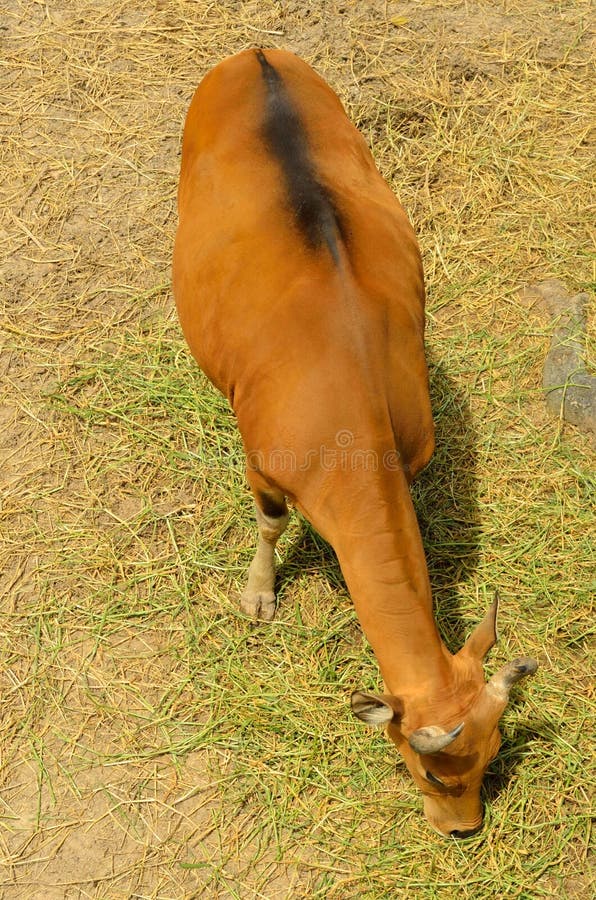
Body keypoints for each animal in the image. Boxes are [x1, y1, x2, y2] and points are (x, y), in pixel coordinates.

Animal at [172, 48, 538, 837]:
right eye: (430, 770)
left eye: (492, 755)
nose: (463, 830)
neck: (348, 412)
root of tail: (256, 52)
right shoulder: (263, 464)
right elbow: (269, 525)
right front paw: (258, 595)